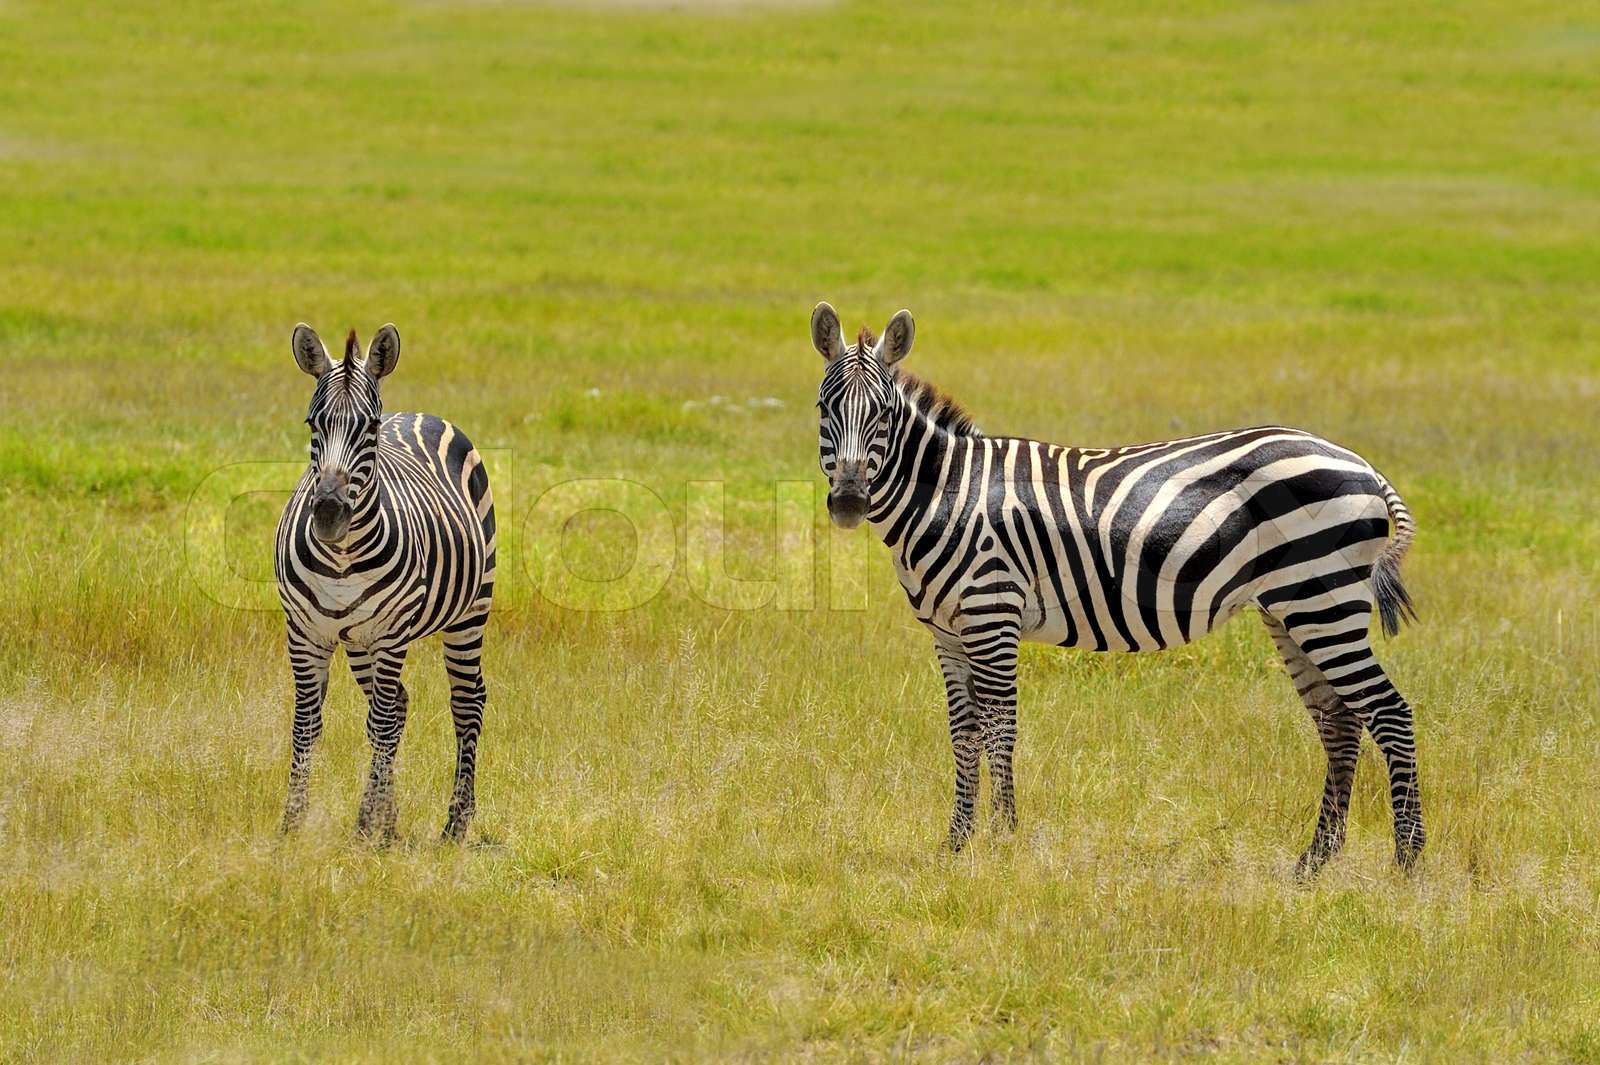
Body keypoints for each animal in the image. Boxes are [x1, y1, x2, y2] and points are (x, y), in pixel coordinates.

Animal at [276, 324, 495, 843]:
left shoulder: (392, 635)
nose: (329, 514)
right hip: (358, 641)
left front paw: (364, 827)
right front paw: (293, 824)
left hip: (471, 610)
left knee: (466, 701)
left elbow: (379, 723)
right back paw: (391, 821)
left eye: (369, 428)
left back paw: (455, 823)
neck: (341, 557)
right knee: (398, 706)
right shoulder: (305, 633)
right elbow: (307, 723)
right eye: (313, 425)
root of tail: (419, 414)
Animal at [810, 302, 1422, 877]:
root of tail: (1361, 464)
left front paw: (1004, 842)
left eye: (884, 414)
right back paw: (1314, 862)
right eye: (824, 409)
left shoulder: (993, 615)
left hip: (1324, 600)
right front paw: (956, 844)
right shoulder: (948, 633)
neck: (949, 494)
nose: (848, 502)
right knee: (1339, 721)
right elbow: (963, 733)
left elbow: (999, 728)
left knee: (1388, 711)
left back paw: (1407, 862)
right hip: (1292, 608)